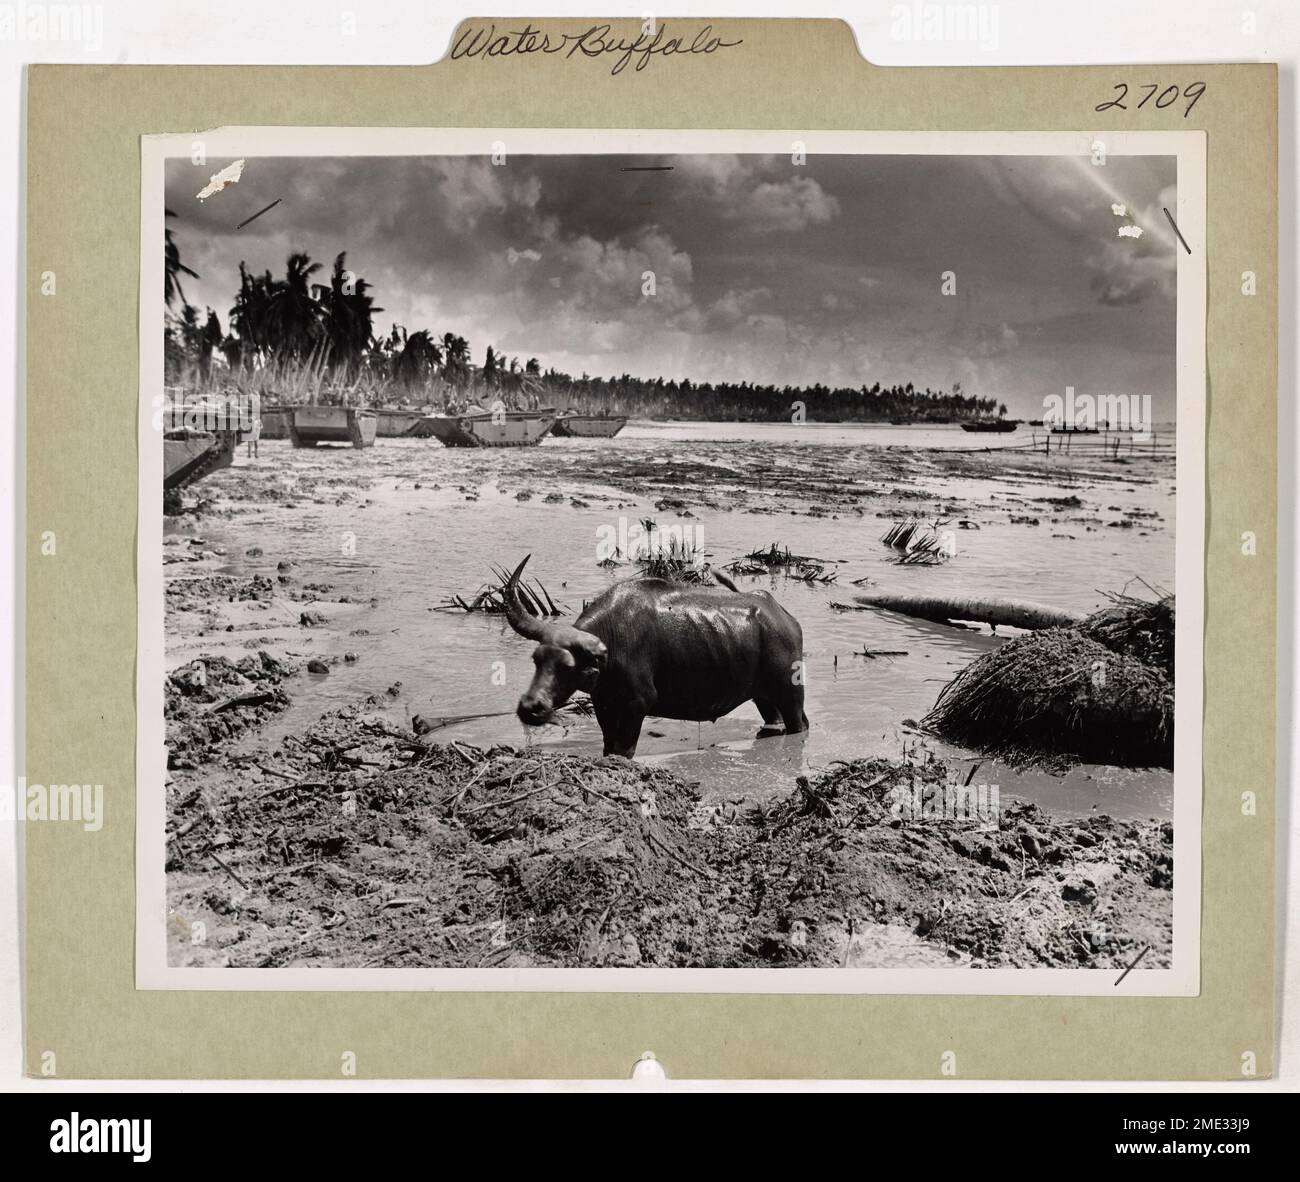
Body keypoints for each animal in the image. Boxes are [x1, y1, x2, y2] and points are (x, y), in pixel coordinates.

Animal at [502, 556, 808, 757]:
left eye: (567, 666)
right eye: (537, 659)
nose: (531, 707)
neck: (614, 641)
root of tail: (787, 620)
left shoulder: (637, 704)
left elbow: (623, 751)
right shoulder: (604, 705)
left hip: (791, 693)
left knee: (800, 724)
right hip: (763, 697)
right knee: (773, 722)